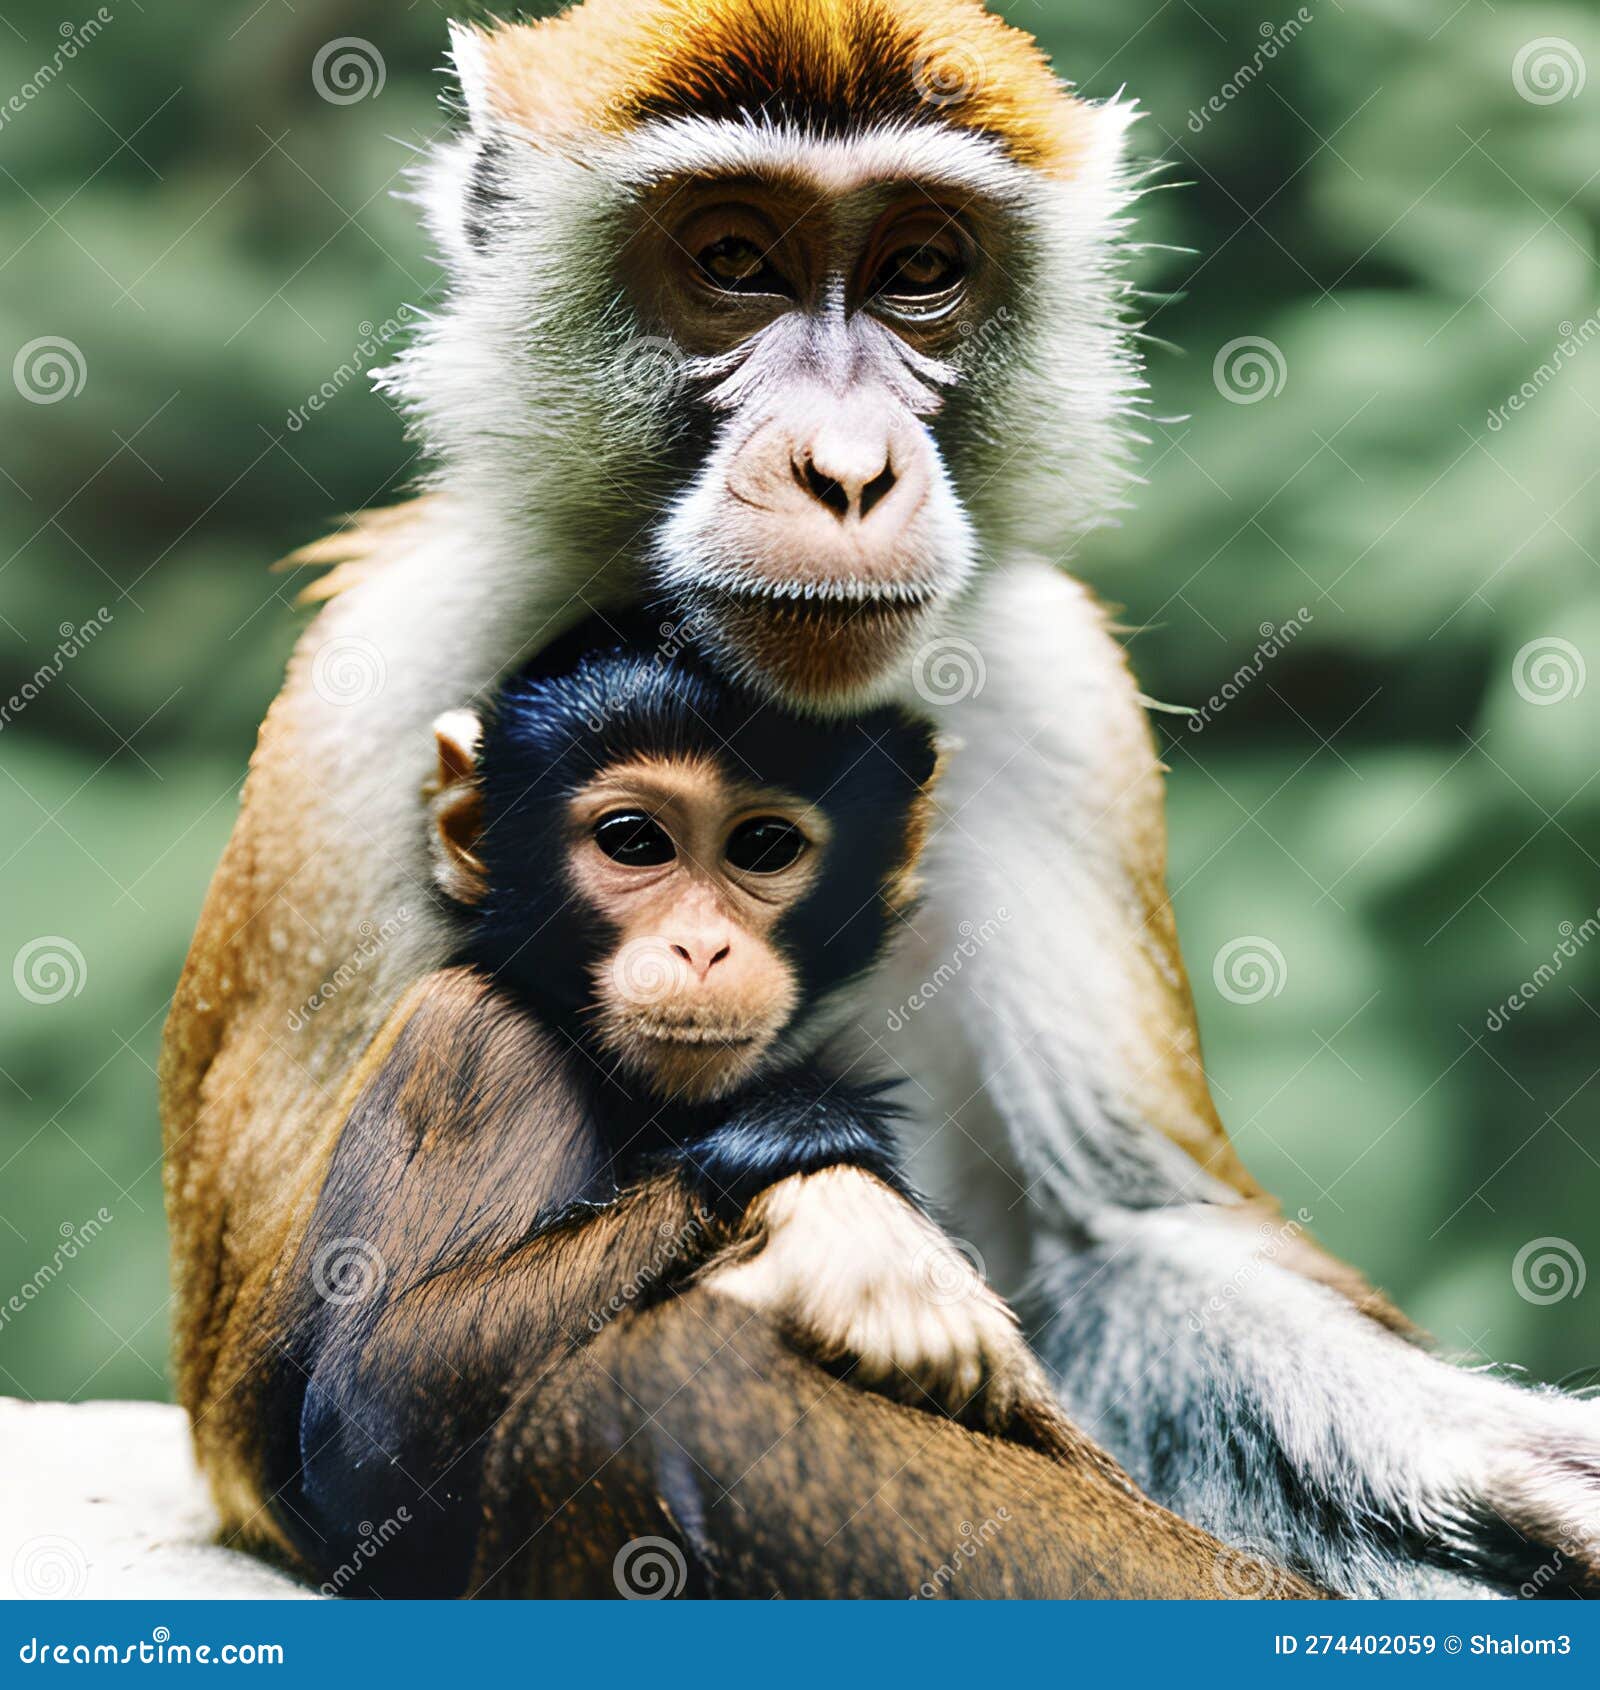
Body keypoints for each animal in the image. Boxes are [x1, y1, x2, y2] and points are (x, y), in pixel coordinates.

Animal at [239, 624, 1309, 1598]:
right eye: (634, 841)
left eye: (764, 846)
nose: (701, 949)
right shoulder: (474, 1043)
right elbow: (371, 1421)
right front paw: (825, 1184)